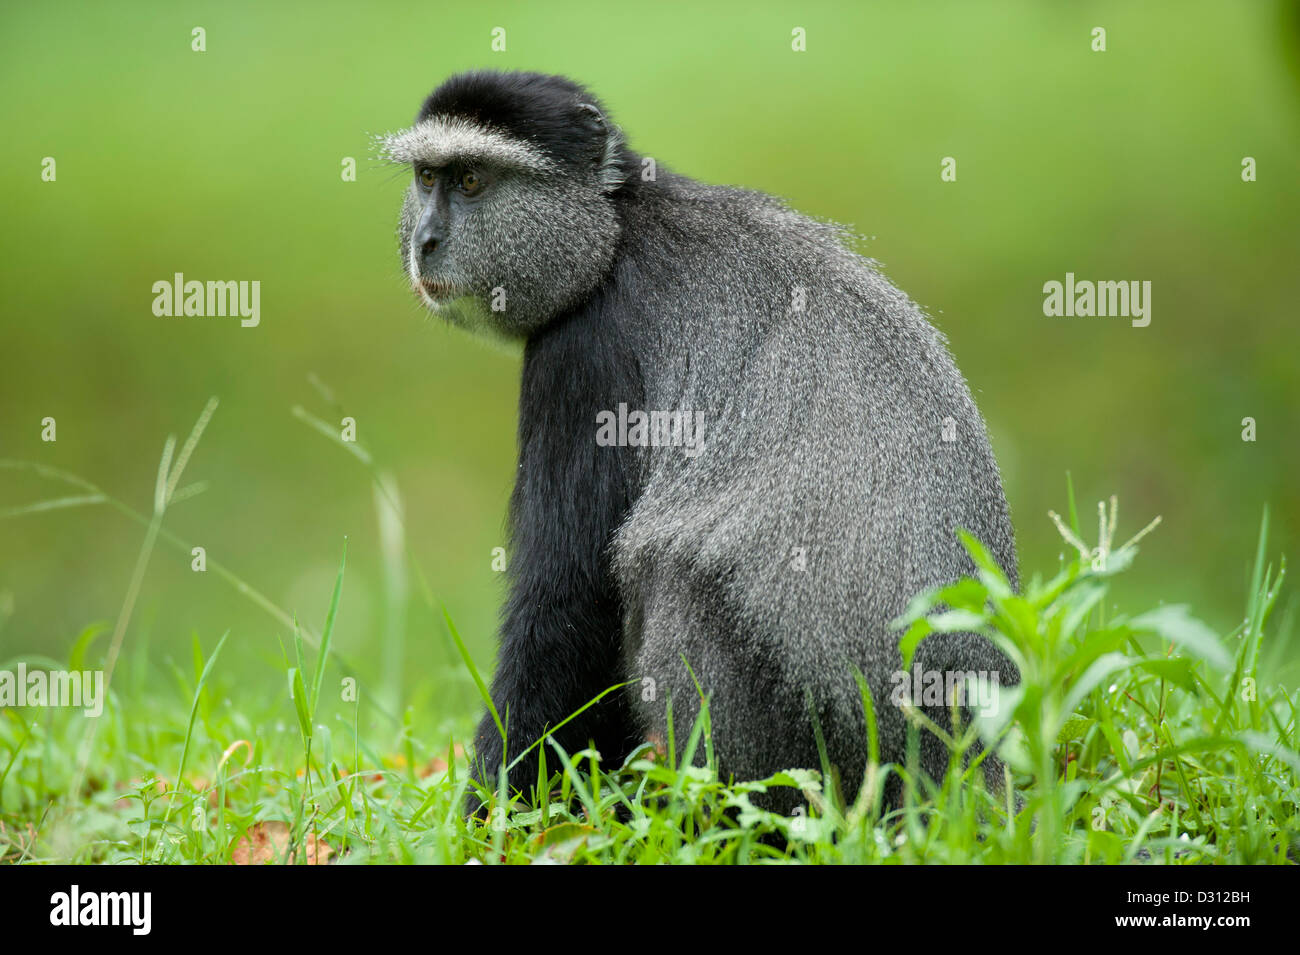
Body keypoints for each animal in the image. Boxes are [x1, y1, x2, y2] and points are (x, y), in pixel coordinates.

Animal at [379, 70, 1019, 816]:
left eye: (473, 180)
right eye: (427, 177)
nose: (425, 240)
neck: (613, 231)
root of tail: (962, 770)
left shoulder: (586, 356)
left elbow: (568, 597)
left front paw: (496, 816)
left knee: (681, 580)